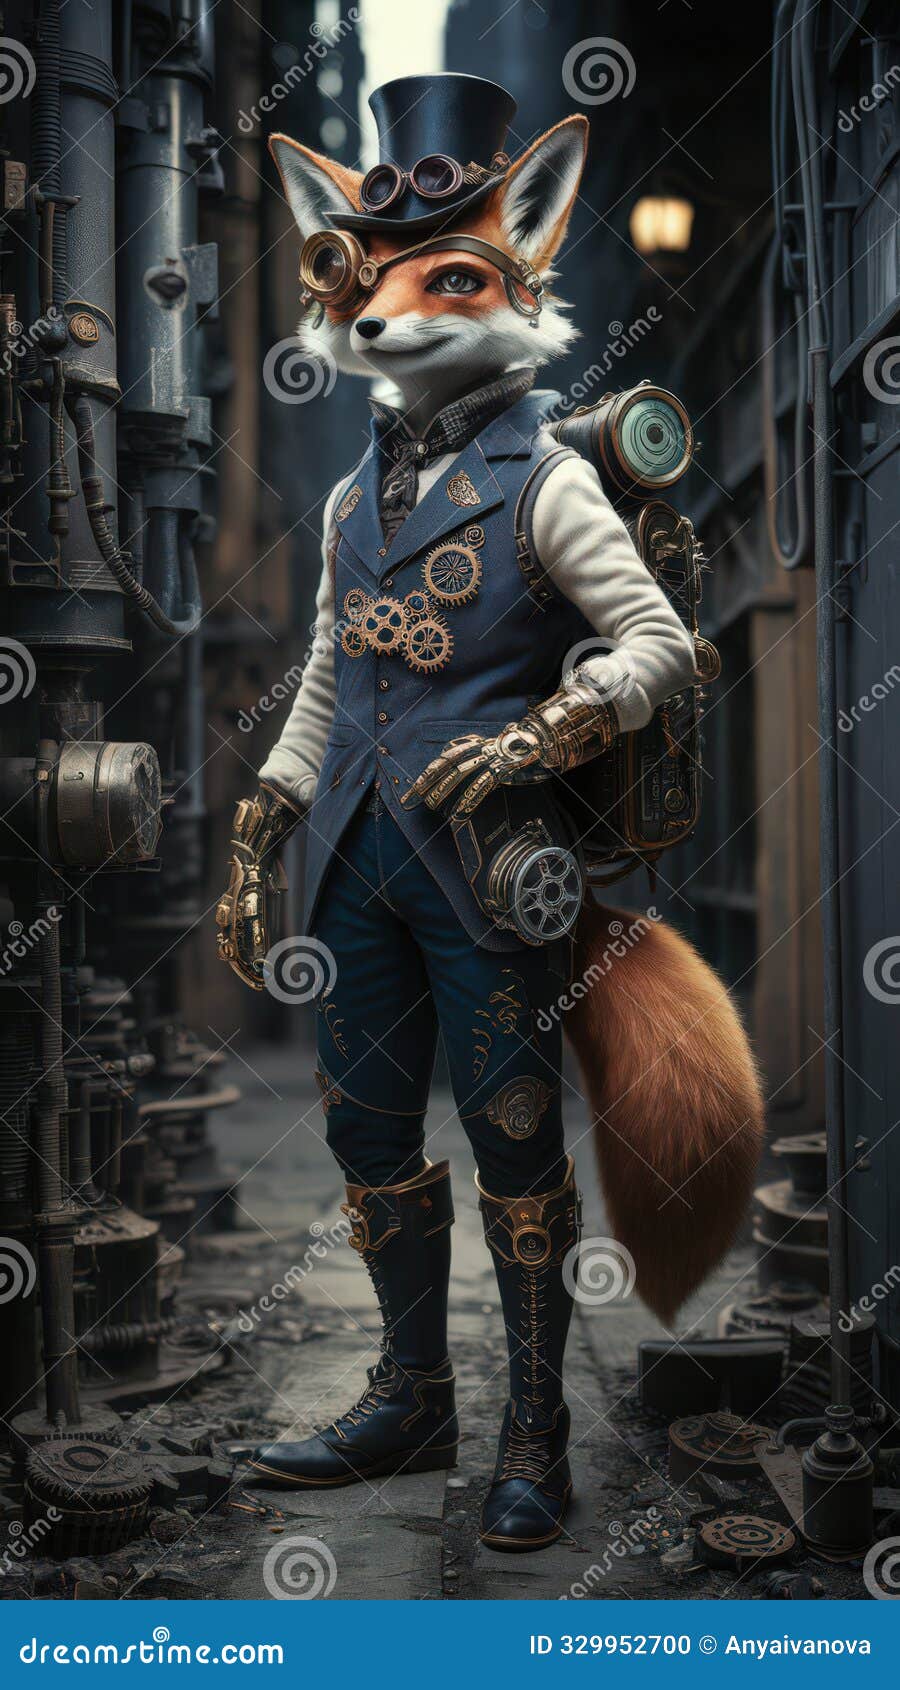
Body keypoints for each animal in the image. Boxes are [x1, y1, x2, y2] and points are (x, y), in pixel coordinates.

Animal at [259, 112, 765, 1325]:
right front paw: (250, 867)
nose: (370, 323)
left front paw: (492, 753)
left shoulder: (580, 512)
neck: (430, 437)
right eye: (349, 275)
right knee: (383, 1151)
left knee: (521, 1164)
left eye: (458, 276)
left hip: (499, 936)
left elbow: (653, 644)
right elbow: (321, 687)